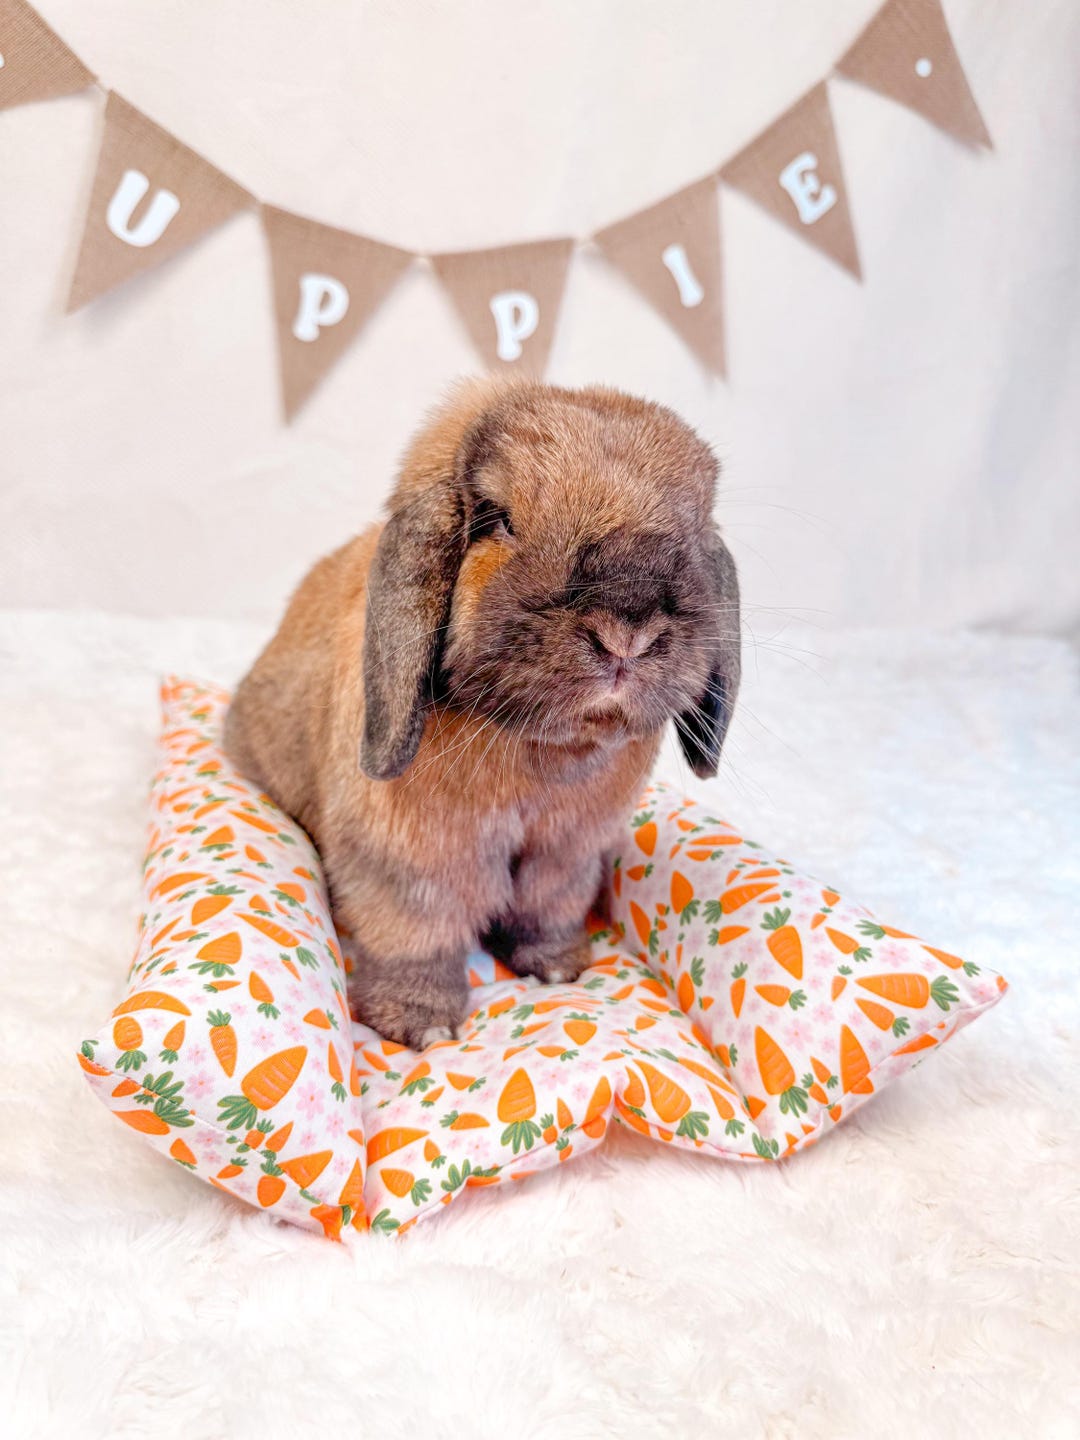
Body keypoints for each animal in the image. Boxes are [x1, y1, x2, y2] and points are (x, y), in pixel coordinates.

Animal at [224, 376, 740, 1050]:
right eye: (499, 520)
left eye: (696, 530)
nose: (627, 630)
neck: (538, 749)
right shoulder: (412, 865)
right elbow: (416, 935)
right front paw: (421, 1025)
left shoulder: (568, 852)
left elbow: (550, 908)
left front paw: (559, 967)